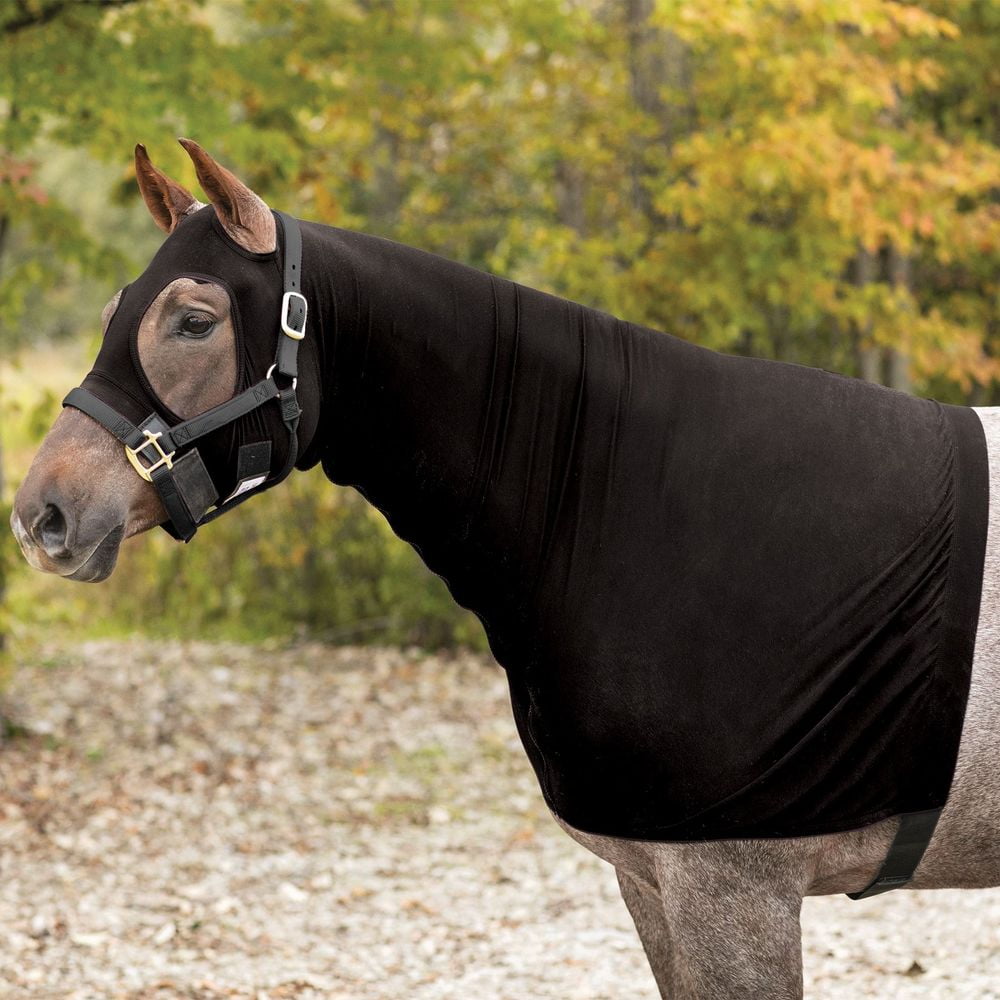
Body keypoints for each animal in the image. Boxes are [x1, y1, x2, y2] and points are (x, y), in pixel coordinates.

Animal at [11, 141, 1000, 999]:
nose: (40, 516)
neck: (637, 500)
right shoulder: (656, 887)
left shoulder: (735, 892)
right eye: (113, 312)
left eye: (194, 322)